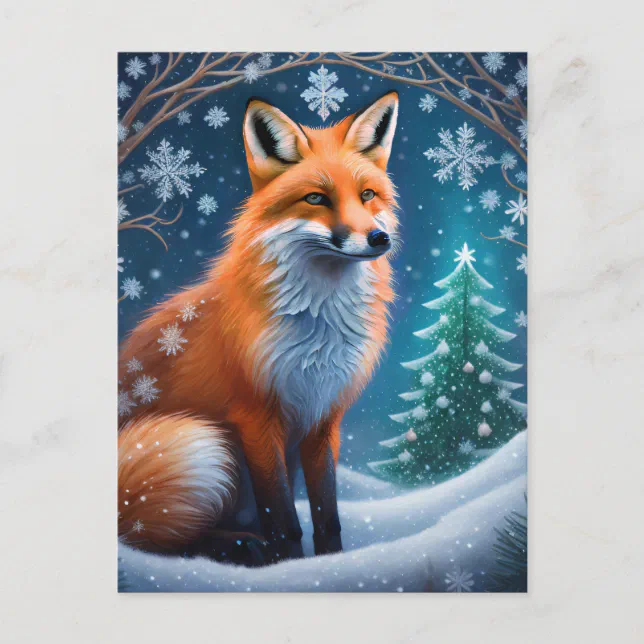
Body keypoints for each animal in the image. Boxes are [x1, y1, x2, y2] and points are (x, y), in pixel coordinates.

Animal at [118, 91, 401, 564]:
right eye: (316, 198)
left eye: (367, 195)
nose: (379, 239)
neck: (319, 330)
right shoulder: (256, 417)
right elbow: (283, 519)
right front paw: (289, 567)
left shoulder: (323, 416)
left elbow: (327, 513)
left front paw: (330, 564)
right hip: (202, 446)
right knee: (153, 540)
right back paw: (239, 547)